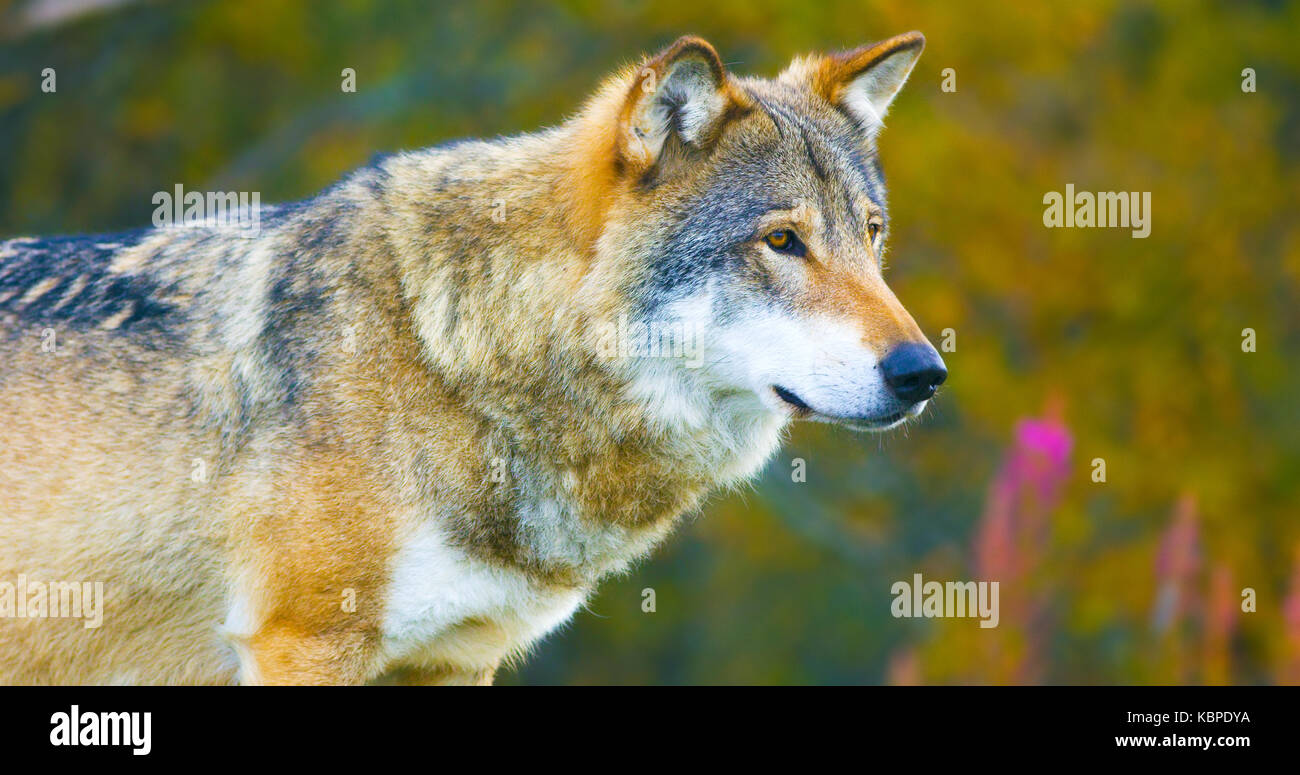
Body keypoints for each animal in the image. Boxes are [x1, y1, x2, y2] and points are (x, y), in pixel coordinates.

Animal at [0, 32, 945, 684]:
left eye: (871, 235)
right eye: (782, 241)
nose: (924, 373)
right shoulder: (304, 640)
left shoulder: (456, 657)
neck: (442, 355)